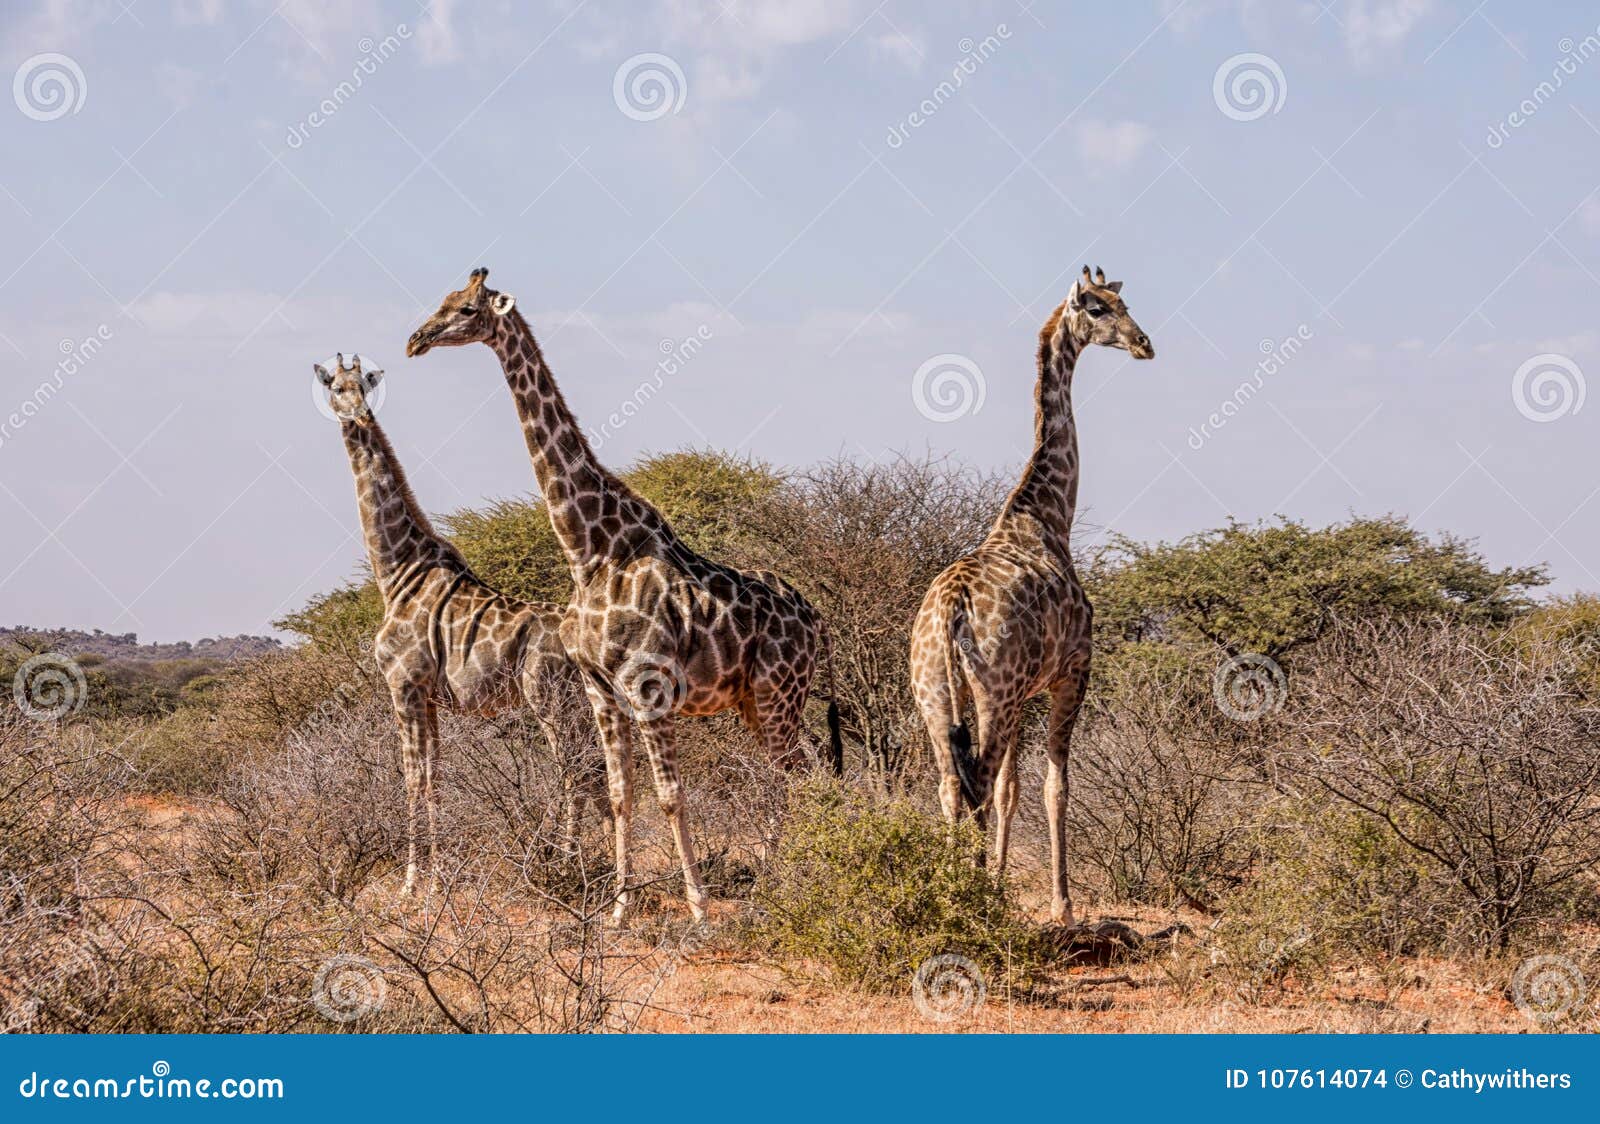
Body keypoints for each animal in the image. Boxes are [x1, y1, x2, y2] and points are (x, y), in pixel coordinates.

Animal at [315, 352, 607, 896]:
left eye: (362, 384)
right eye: (337, 387)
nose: (359, 414)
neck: (396, 569)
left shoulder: (403, 685)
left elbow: (412, 778)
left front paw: (411, 881)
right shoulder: (429, 697)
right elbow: (435, 776)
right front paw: (437, 874)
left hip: (548, 698)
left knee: (572, 771)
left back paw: (564, 863)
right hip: (580, 704)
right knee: (595, 768)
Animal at [405, 268, 843, 923]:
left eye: (462, 309)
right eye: (442, 301)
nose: (416, 340)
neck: (590, 549)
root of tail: (816, 621)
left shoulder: (647, 684)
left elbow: (669, 794)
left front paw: (698, 908)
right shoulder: (600, 690)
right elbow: (618, 795)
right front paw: (616, 908)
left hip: (777, 695)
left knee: (791, 776)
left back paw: (788, 880)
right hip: (756, 701)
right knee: (804, 769)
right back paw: (783, 872)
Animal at [908, 266, 1154, 925]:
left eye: (1123, 300)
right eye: (1097, 308)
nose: (1144, 343)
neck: (1048, 516)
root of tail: (950, 610)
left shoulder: (1022, 694)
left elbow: (1011, 789)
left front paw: (997, 882)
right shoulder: (1072, 671)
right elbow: (1053, 786)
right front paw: (1062, 906)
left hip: (935, 695)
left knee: (952, 785)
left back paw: (952, 892)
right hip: (991, 692)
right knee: (974, 781)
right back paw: (966, 902)